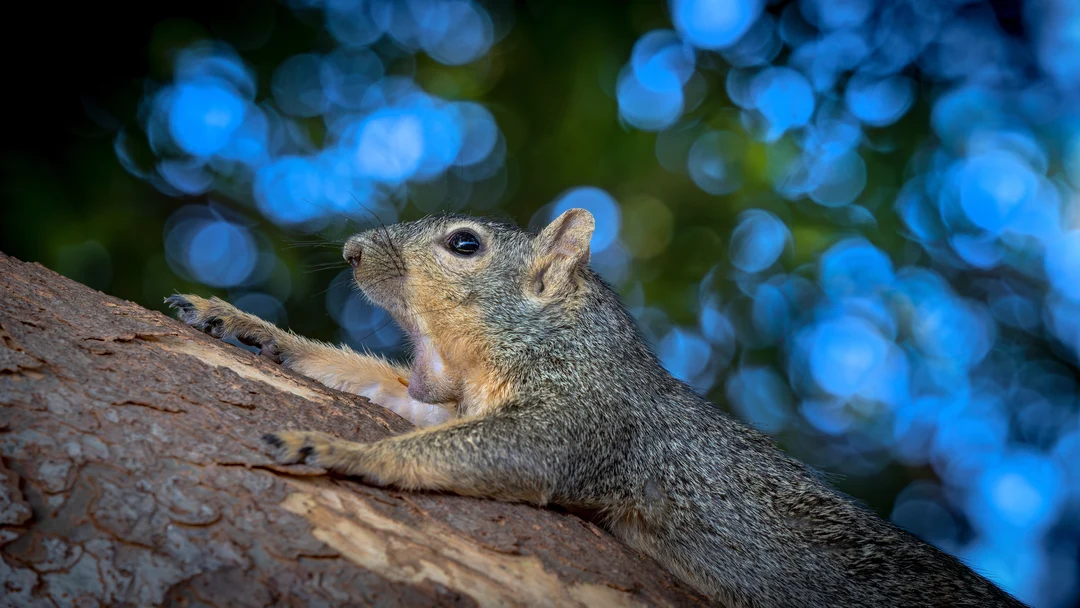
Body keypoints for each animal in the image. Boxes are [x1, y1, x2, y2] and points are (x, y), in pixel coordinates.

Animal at [166, 209, 1026, 607]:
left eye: (465, 245)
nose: (348, 250)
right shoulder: (447, 400)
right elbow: (381, 389)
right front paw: (239, 322)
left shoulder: (583, 421)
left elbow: (493, 452)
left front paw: (346, 452)